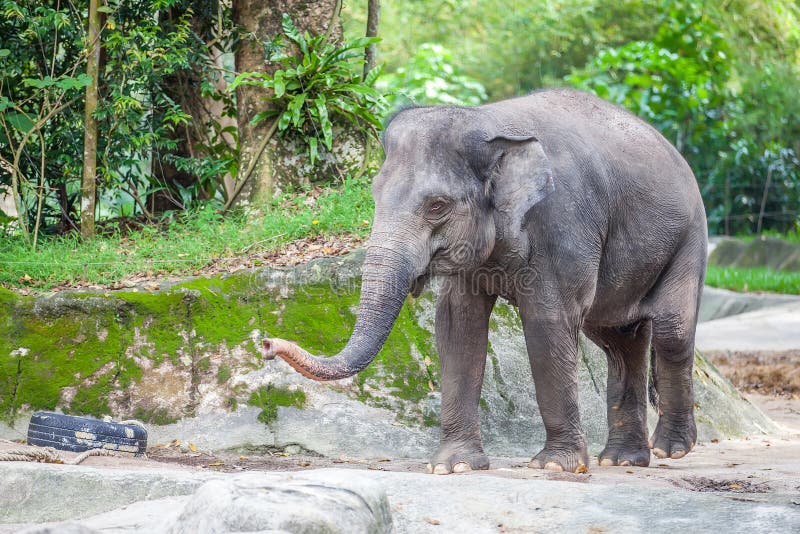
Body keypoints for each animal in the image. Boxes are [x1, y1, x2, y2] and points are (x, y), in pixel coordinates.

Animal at [262, 88, 707, 474]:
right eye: (374, 195)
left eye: (437, 206)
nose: (266, 343)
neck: (487, 121)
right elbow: (456, 325)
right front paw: (452, 466)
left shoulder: (563, 223)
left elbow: (548, 321)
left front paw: (553, 466)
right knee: (618, 339)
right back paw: (622, 460)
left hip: (688, 238)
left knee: (670, 330)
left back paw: (671, 449)